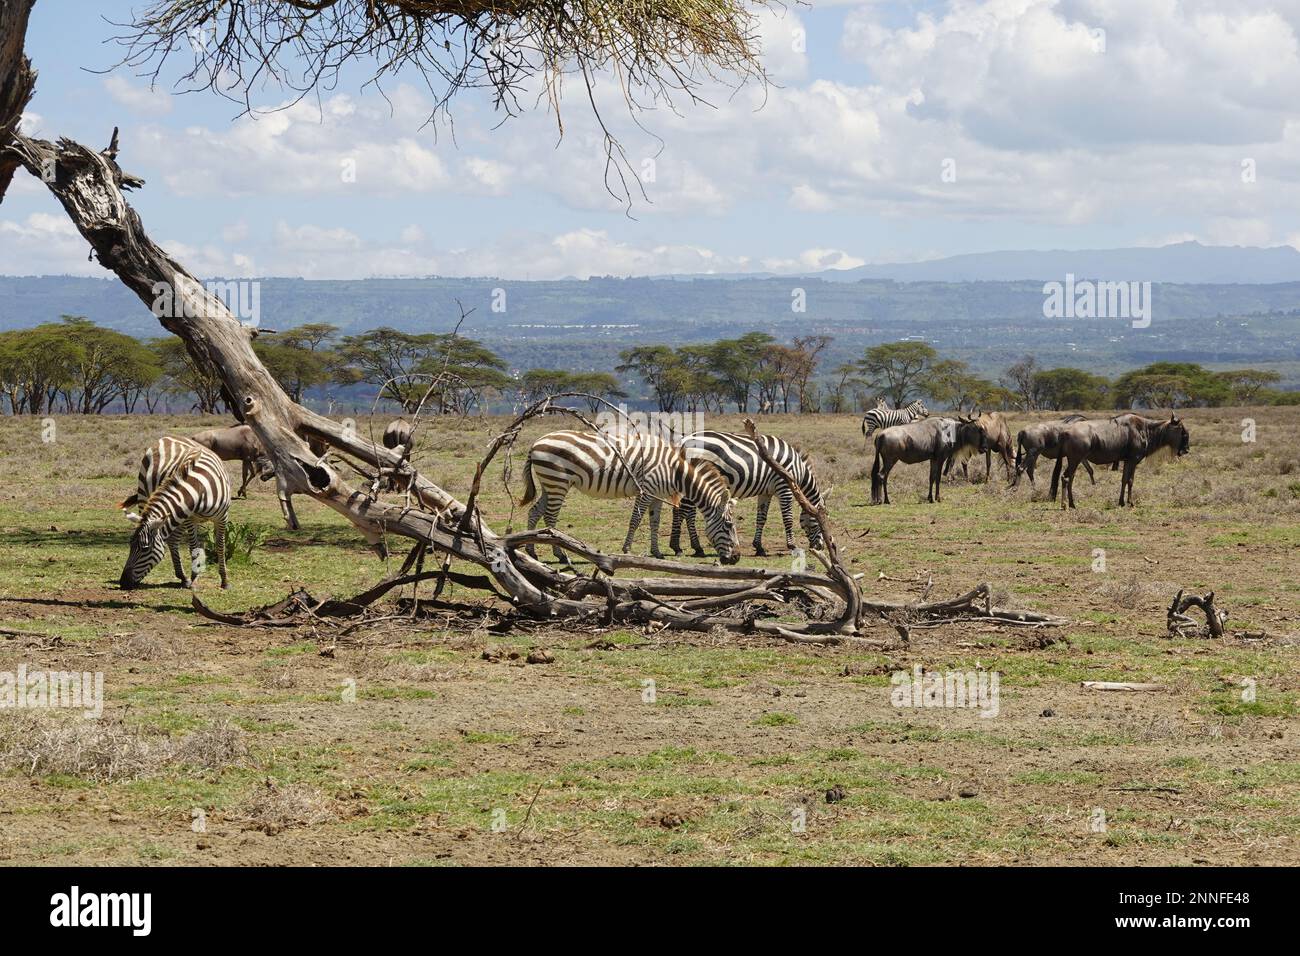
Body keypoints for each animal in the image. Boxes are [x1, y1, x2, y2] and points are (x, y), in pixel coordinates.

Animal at [118, 437, 232, 589]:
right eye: (130, 546)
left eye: (145, 549)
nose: (123, 582)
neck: (200, 487)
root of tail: (165, 438)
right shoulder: (190, 518)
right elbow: (193, 548)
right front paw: (194, 579)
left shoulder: (222, 517)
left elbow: (220, 546)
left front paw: (225, 581)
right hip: (147, 498)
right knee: (172, 540)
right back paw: (183, 577)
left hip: (177, 516)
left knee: (173, 539)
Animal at [518, 430, 739, 565]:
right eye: (728, 526)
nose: (736, 558)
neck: (674, 471)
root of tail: (536, 442)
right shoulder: (646, 490)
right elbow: (636, 519)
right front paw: (626, 549)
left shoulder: (656, 496)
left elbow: (654, 522)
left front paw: (657, 553)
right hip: (558, 482)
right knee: (550, 517)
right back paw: (560, 554)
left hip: (549, 483)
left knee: (535, 511)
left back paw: (531, 551)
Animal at [668, 431, 826, 557]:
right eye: (823, 519)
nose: (821, 546)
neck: (798, 471)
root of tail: (683, 441)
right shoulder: (784, 486)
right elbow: (788, 518)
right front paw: (792, 546)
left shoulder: (766, 492)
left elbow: (761, 518)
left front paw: (759, 547)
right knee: (684, 511)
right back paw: (681, 547)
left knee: (683, 511)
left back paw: (692, 547)